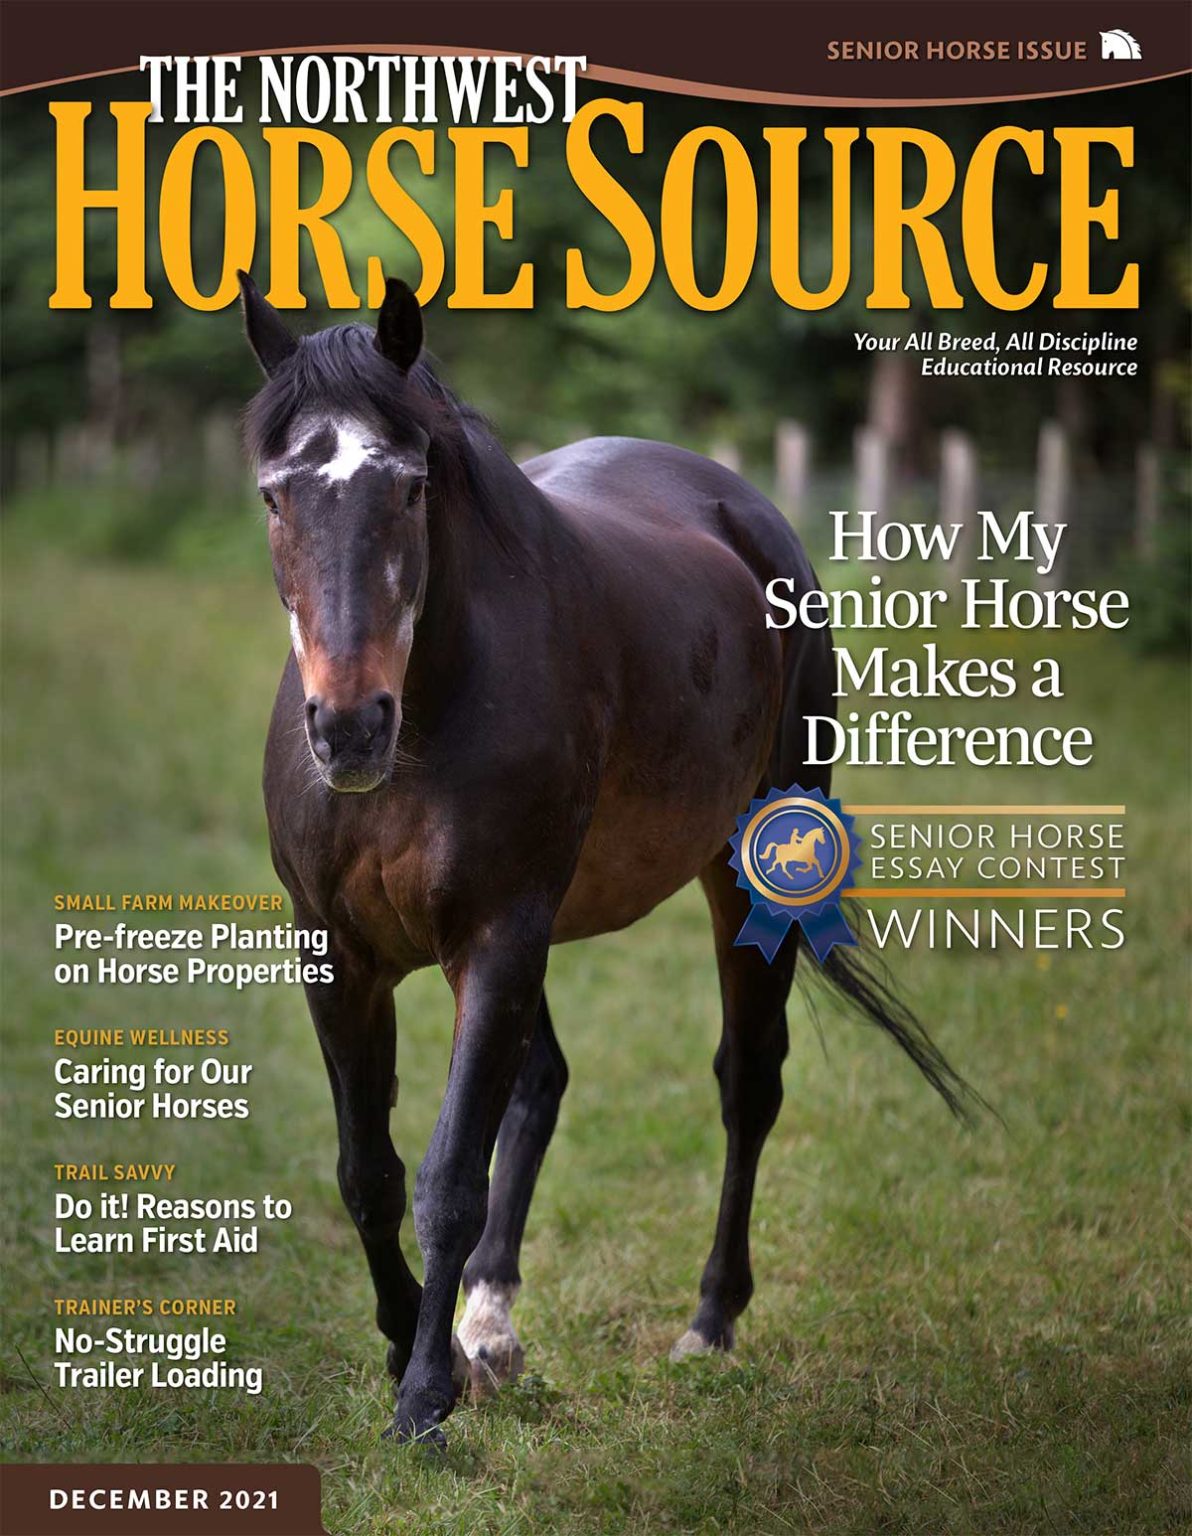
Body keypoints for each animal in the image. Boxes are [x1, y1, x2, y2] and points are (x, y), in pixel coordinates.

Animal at [237, 272, 971, 1448]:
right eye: (275, 496)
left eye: (409, 488)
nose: (347, 728)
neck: (428, 715)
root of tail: (741, 509)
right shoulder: (340, 953)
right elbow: (369, 1172)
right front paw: (416, 1344)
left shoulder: (497, 933)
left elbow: (448, 1174)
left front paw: (424, 1398)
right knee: (541, 1086)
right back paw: (490, 1328)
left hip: (737, 875)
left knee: (746, 1083)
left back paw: (709, 1323)